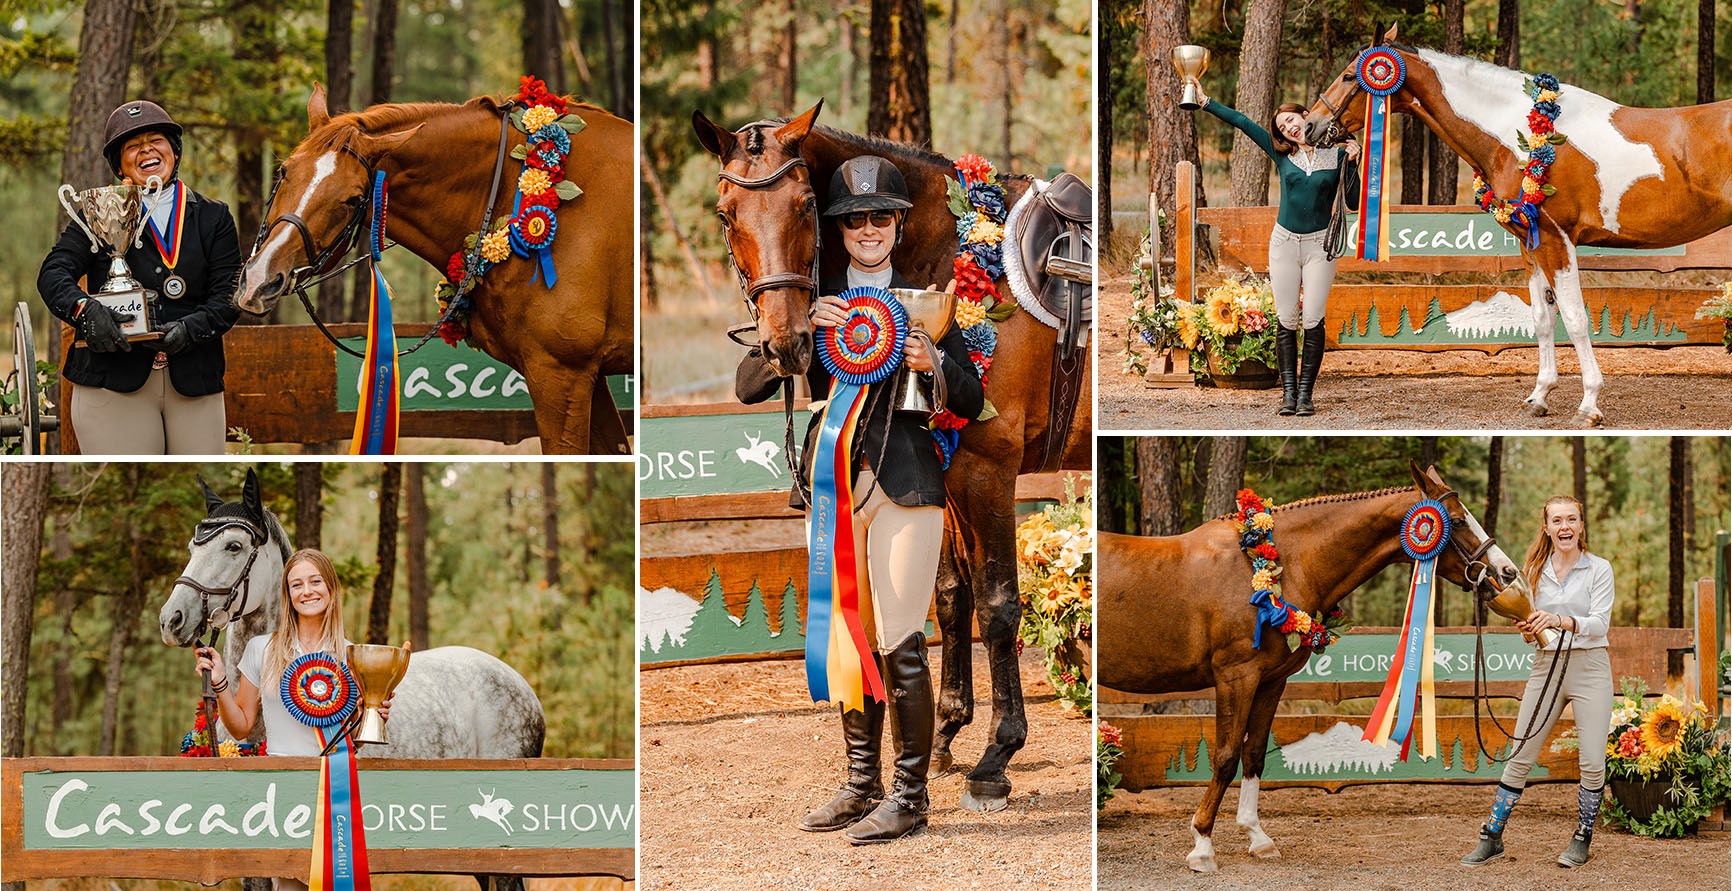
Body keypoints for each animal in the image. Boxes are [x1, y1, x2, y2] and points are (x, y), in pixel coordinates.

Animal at [1097, 461, 1522, 872]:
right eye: (1458, 520)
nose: (1506, 573)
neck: (1274, 566)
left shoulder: (1270, 682)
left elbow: (1254, 754)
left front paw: (1257, 838)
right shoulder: (1236, 677)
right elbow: (1226, 756)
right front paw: (1202, 846)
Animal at [1302, 29, 1732, 427]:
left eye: (1348, 75)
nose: (1309, 126)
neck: (1519, 136)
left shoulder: (1558, 239)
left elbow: (1575, 319)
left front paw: (1589, 405)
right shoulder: (1531, 242)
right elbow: (1542, 318)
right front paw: (1539, 397)